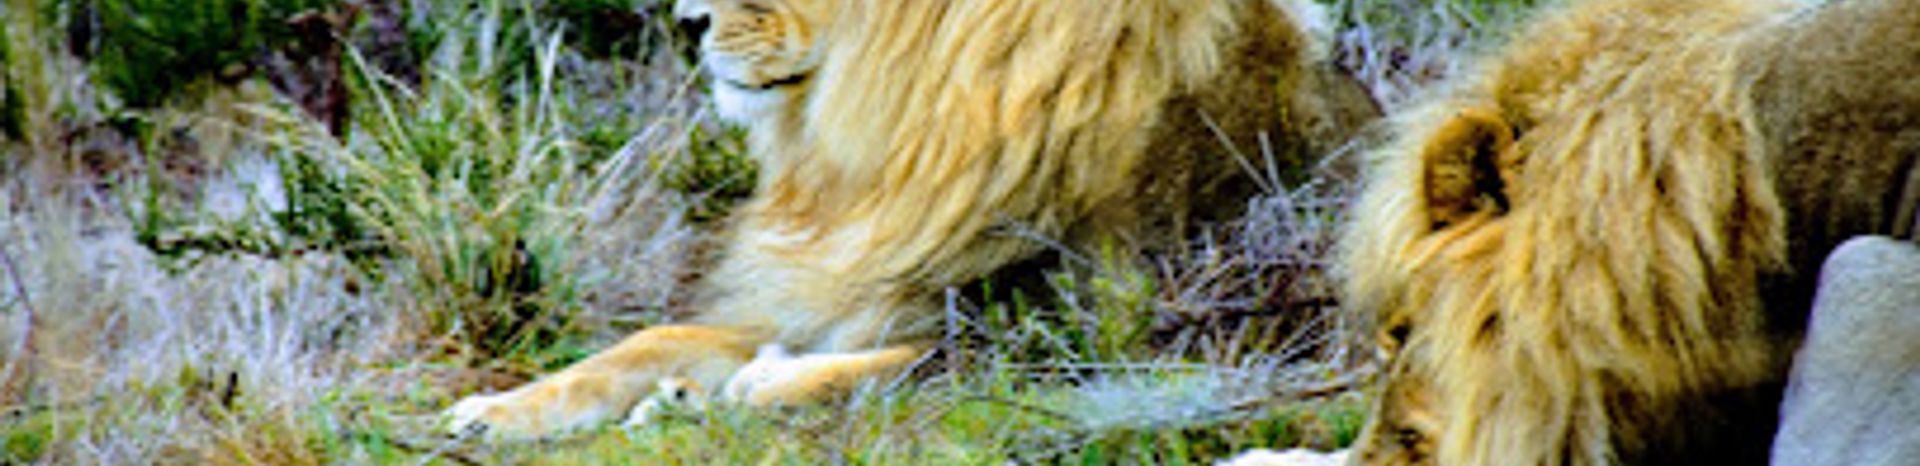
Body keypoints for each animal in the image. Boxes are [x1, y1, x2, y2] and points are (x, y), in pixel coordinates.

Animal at [445, 0, 1379, 438]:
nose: (686, 22)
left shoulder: (1105, 327)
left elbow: (925, 362)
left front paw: (743, 389)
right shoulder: (840, 286)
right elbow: (645, 342)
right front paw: (494, 409)